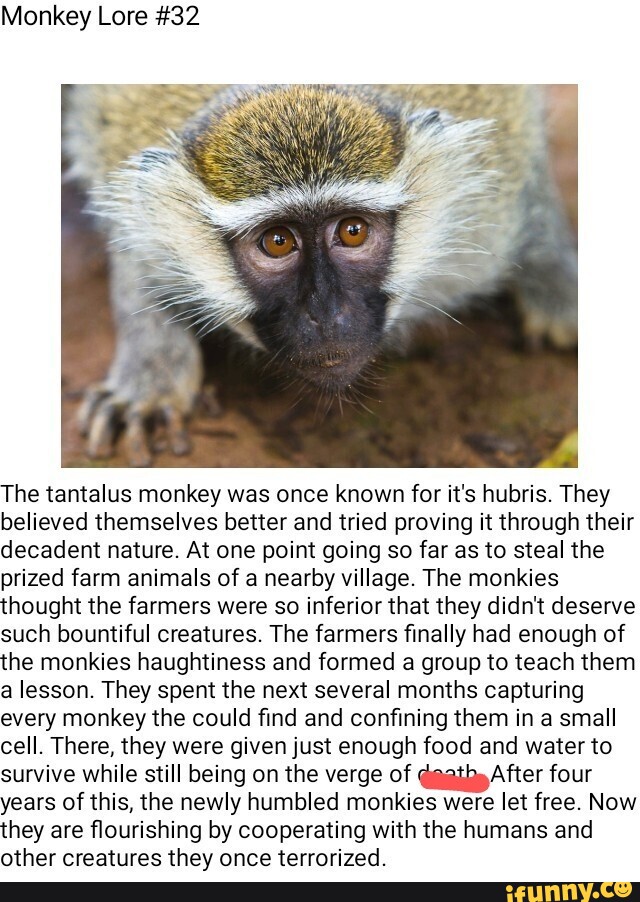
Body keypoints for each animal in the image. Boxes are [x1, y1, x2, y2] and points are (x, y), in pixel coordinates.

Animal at [64, 84, 577, 466]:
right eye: (277, 241)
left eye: (352, 231)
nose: (325, 313)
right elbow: (135, 252)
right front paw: (150, 378)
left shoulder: (495, 206)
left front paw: (557, 280)